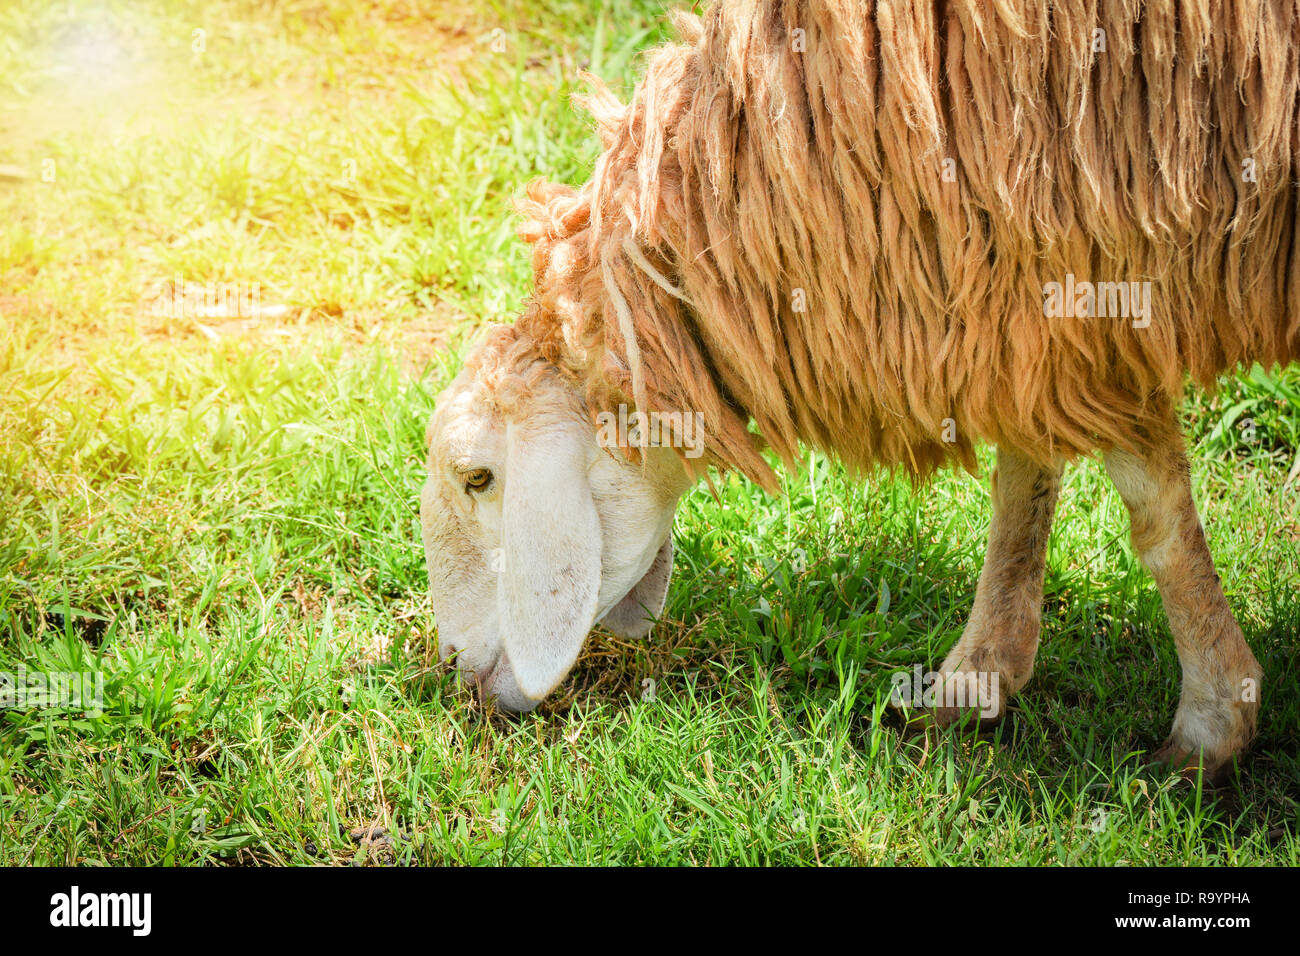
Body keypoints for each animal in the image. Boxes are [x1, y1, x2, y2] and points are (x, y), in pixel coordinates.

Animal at [420, 0, 1299, 777]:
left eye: (478, 477)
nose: (455, 670)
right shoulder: (1017, 294)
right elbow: (1025, 477)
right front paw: (978, 676)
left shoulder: (1095, 276)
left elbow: (1155, 513)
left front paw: (1213, 720)